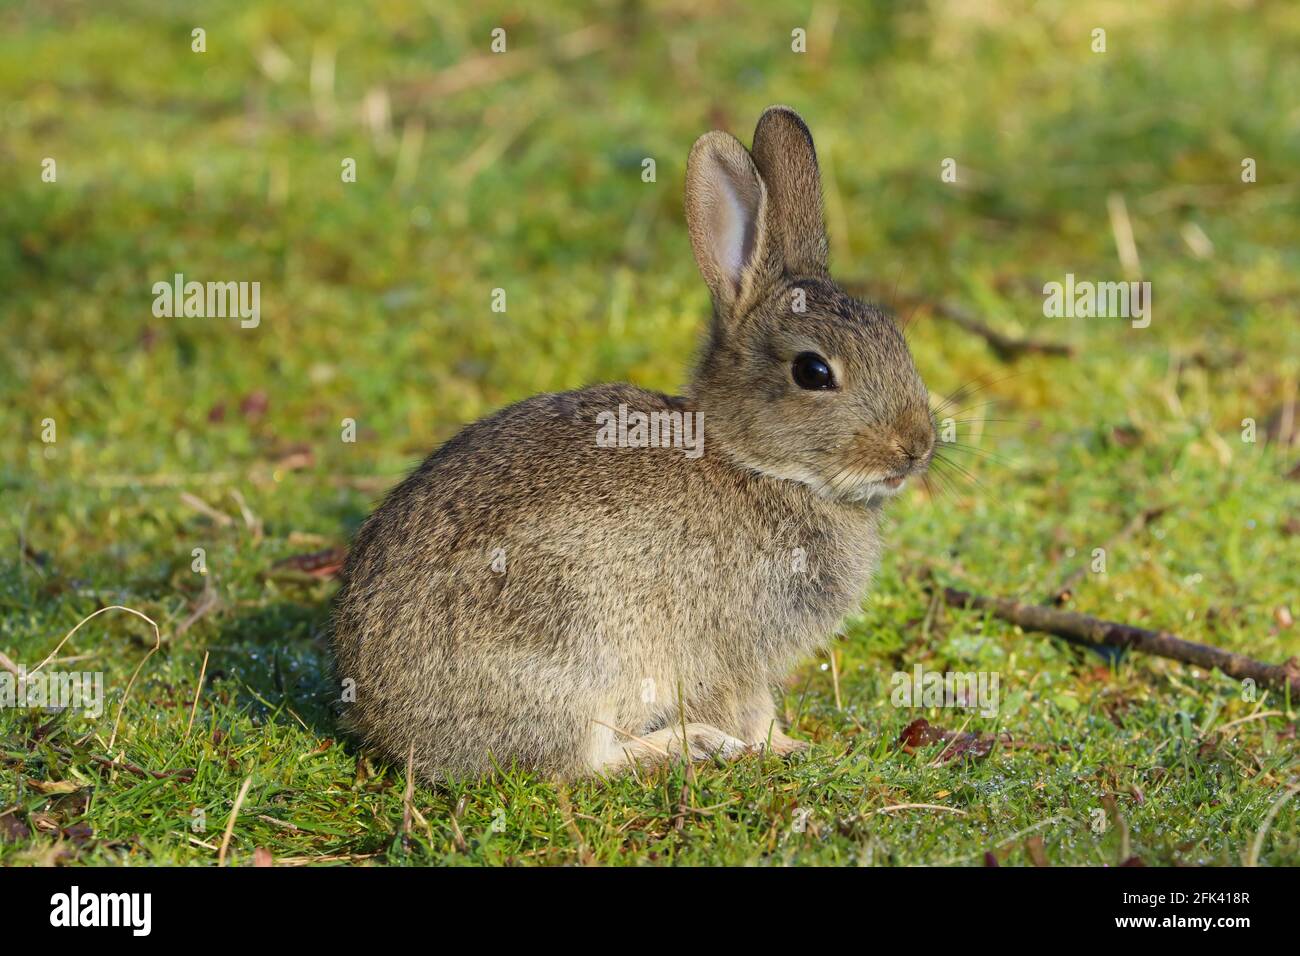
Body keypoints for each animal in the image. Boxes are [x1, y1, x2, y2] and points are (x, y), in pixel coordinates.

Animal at [330, 105, 936, 782]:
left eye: (895, 338)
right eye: (813, 372)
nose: (917, 446)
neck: (755, 464)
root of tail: (383, 723)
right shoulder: (732, 648)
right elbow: (749, 707)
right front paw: (784, 746)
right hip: (577, 658)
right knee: (577, 763)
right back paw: (690, 744)